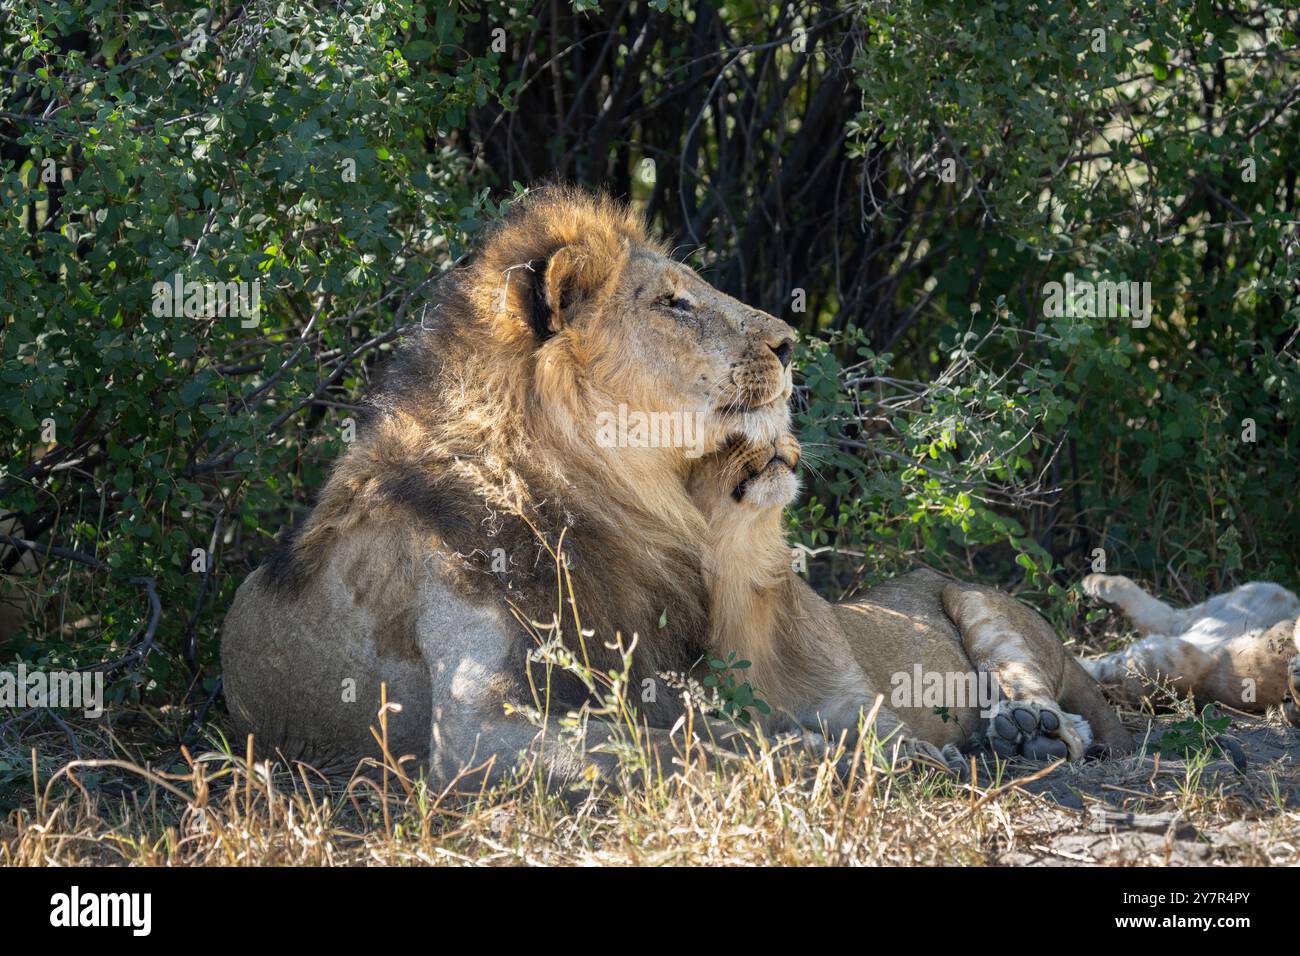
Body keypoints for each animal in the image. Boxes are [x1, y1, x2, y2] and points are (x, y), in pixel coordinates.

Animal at [685, 433, 1135, 763]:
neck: (741, 581)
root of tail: (1060, 644)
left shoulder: (854, 697)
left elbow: (885, 734)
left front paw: (927, 757)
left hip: (969, 597)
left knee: (1033, 689)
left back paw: (1036, 731)